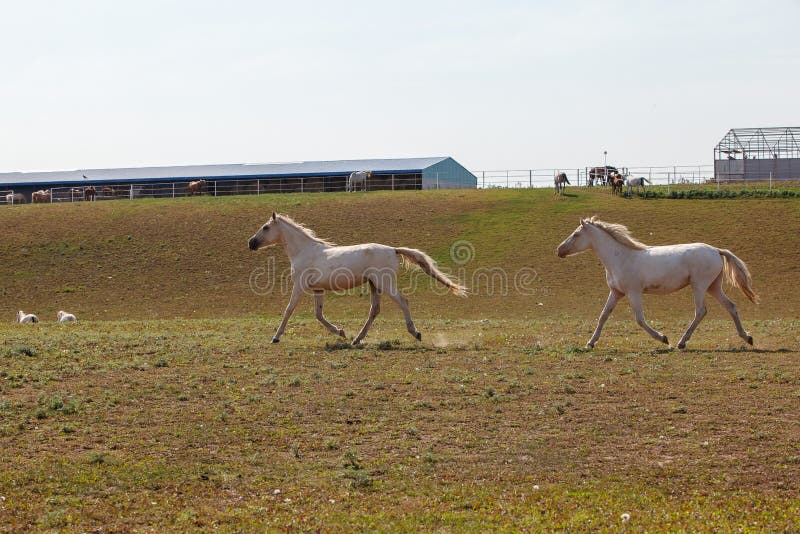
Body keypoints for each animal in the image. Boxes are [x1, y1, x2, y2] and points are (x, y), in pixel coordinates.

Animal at [248, 212, 467, 345]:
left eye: (266, 227)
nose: (250, 243)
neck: (304, 251)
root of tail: (393, 249)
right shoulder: (318, 289)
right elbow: (318, 314)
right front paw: (341, 332)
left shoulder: (299, 285)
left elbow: (289, 310)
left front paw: (275, 337)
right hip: (374, 285)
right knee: (374, 310)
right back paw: (357, 339)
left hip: (385, 283)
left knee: (403, 301)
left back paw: (416, 333)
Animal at [556, 217, 758, 349]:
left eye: (576, 234)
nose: (559, 250)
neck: (620, 258)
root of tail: (716, 250)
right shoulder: (616, 292)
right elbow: (603, 316)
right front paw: (590, 343)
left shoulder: (634, 292)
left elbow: (639, 319)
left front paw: (663, 338)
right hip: (713, 286)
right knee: (731, 306)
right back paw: (747, 337)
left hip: (699, 285)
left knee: (701, 311)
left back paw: (681, 342)